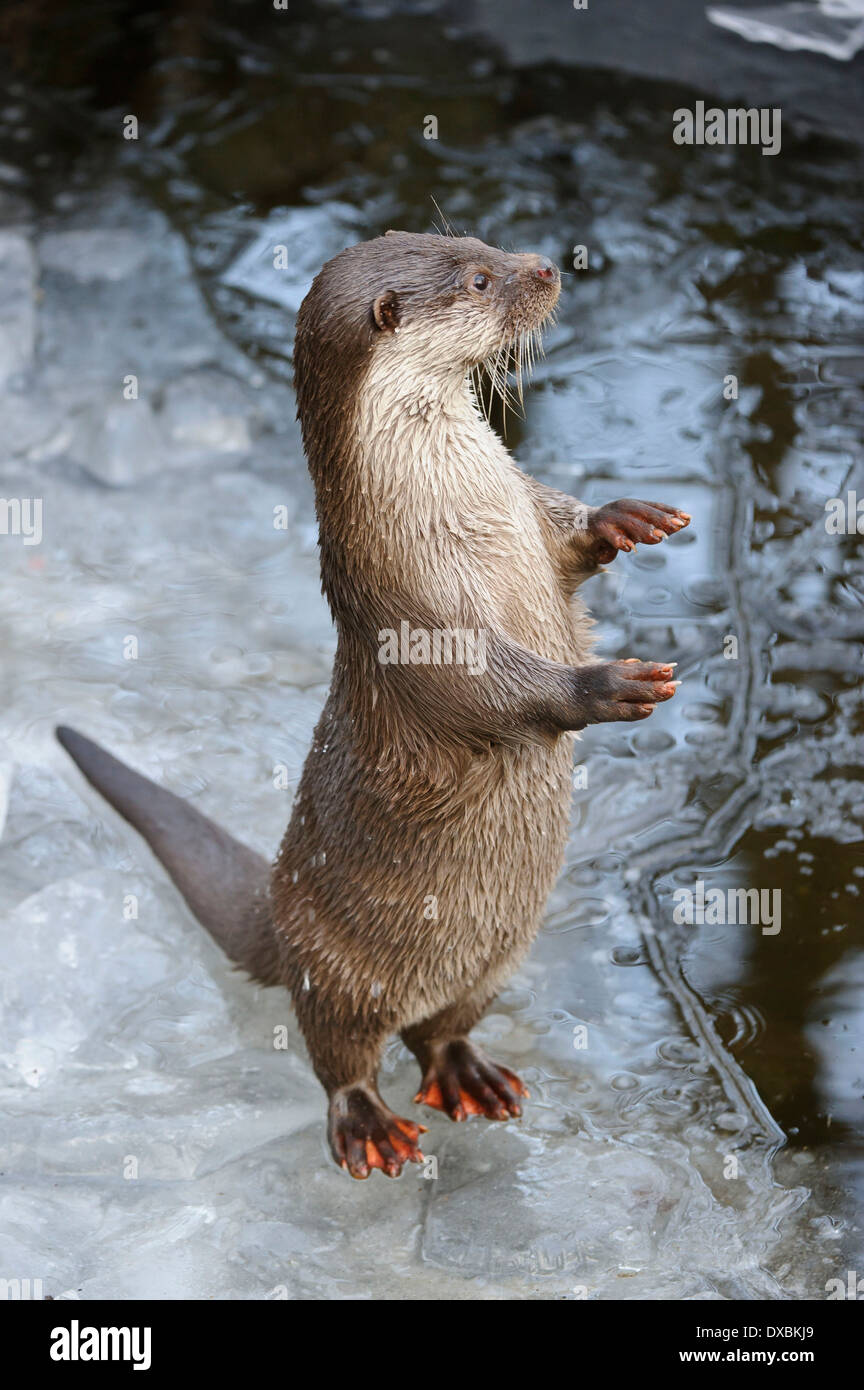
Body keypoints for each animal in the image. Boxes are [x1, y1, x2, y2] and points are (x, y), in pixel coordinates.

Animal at [57, 230, 689, 1179]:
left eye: (481, 240)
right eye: (480, 279)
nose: (546, 266)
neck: (463, 507)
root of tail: (278, 914)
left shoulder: (530, 514)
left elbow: (570, 547)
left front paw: (624, 515)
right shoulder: (410, 607)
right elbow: (486, 687)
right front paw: (604, 684)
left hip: (499, 955)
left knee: (440, 1032)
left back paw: (470, 1077)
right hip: (336, 968)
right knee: (340, 1053)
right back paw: (369, 1128)